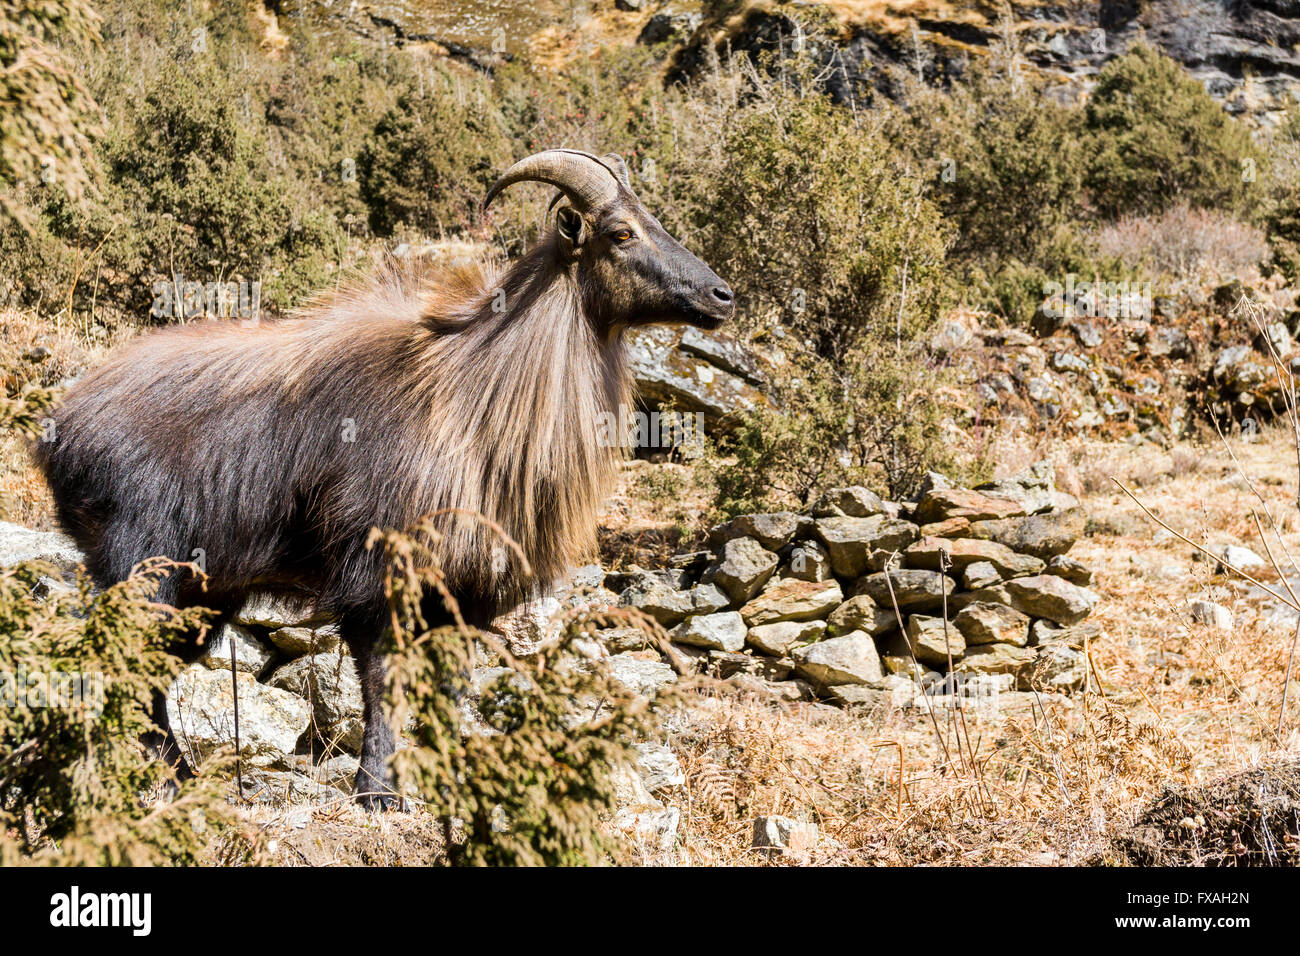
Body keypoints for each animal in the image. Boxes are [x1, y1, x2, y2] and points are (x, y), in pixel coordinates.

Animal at [34, 149, 734, 807]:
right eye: (620, 232)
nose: (721, 295)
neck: (471, 400)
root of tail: (60, 429)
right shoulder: (376, 576)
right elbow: (379, 684)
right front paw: (378, 792)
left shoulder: (460, 594)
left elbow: (448, 690)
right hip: (141, 572)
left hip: (206, 593)